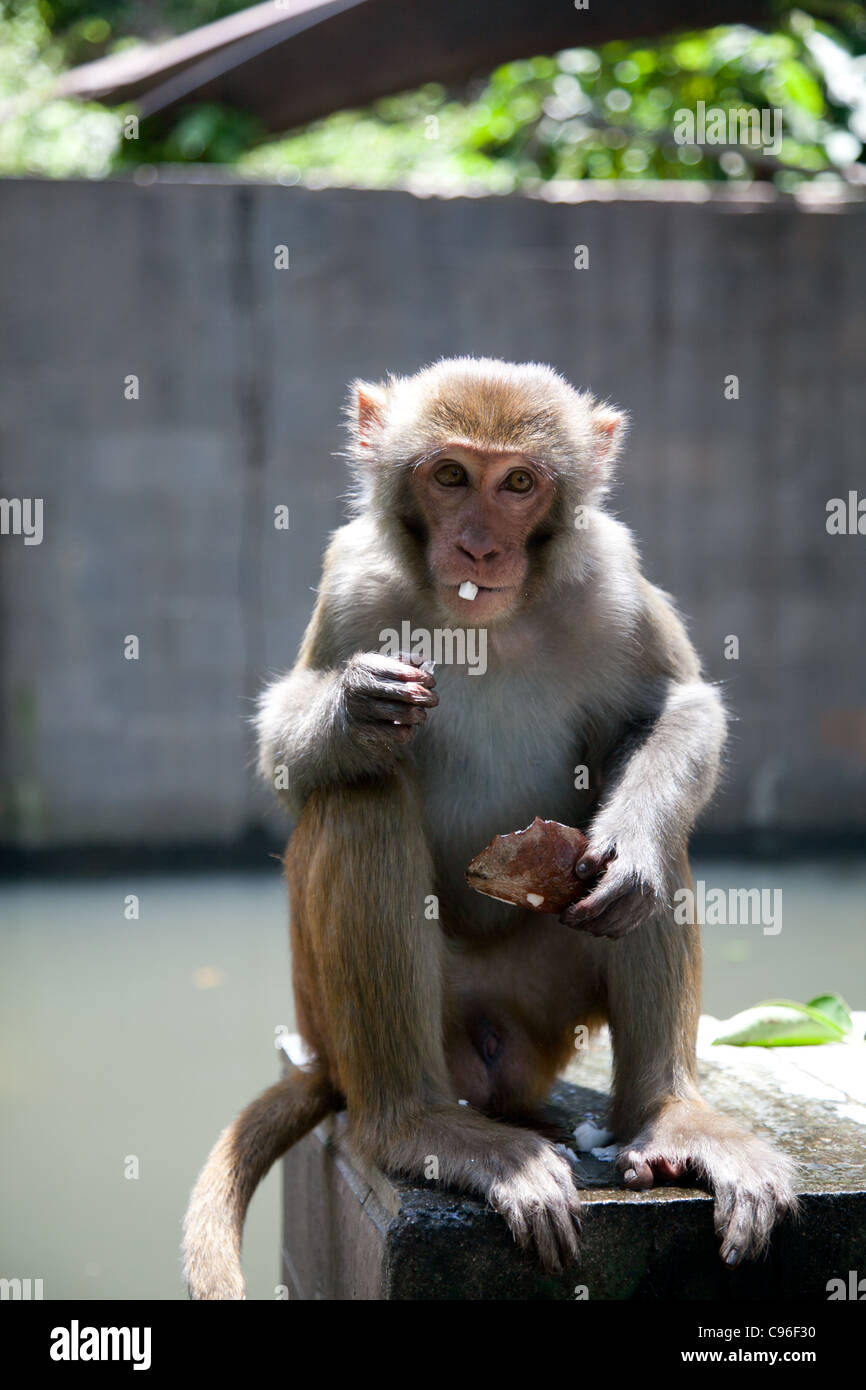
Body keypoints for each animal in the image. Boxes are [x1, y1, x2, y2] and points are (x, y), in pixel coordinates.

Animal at [182, 356, 797, 1300]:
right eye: (448, 476)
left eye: (516, 484)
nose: (478, 548)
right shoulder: (353, 578)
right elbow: (287, 759)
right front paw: (357, 707)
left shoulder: (611, 578)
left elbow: (673, 711)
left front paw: (636, 850)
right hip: (341, 1021)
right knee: (361, 798)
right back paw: (423, 1130)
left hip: (546, 1012)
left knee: (658, 862)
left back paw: (666, 1120)